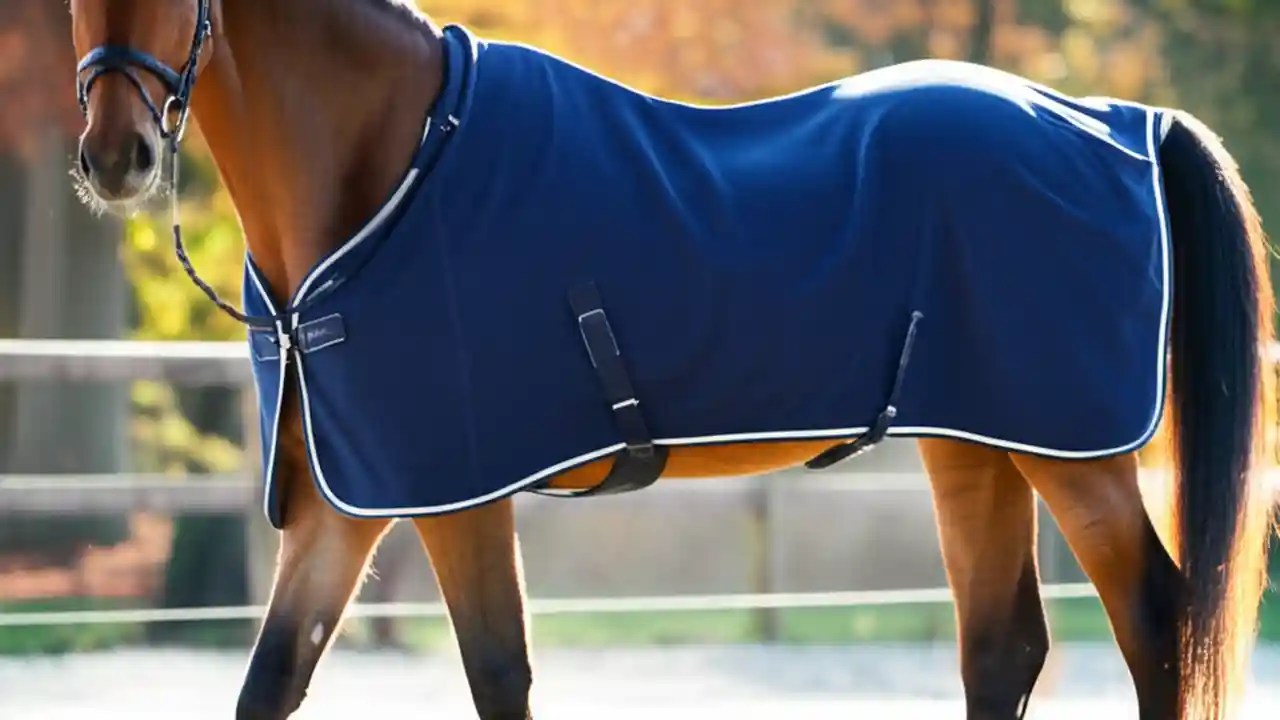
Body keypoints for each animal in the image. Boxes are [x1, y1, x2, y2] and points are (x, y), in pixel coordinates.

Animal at [66, 1, 1275, 719]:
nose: (117, 158)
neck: (390, 170)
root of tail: (1108, 118)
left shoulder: (455, 494)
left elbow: (497, 673)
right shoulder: (341, 502)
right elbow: (271, 682)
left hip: (1076, 454)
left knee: (1158, 624)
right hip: (975, 444)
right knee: (1002, 646)